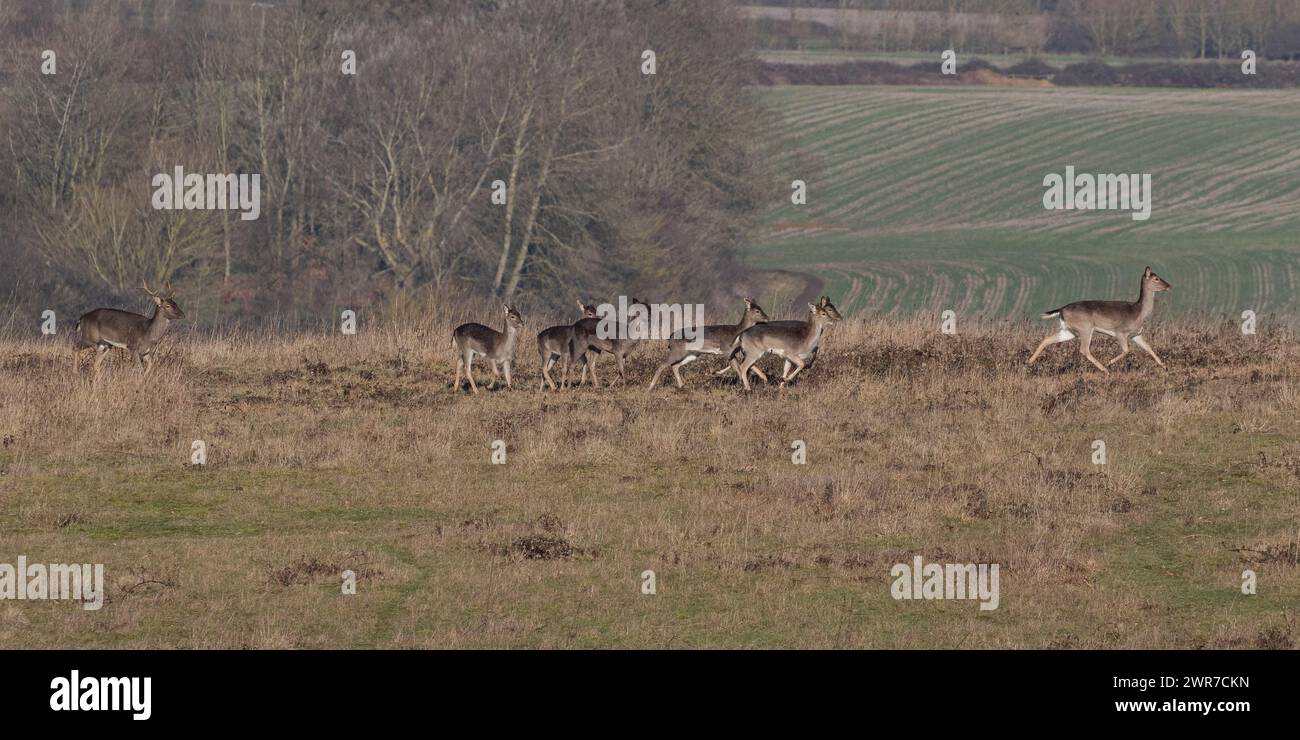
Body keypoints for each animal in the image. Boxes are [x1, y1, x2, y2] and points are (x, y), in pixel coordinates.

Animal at [1027, 266, 1171, 373]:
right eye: (1156, 278)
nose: (1169, 286)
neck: (1139, 312)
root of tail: (1061, 310)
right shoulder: (1120, 332)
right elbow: (1127, 350)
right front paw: (1109, 362)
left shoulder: (1136, 334)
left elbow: (1149, 348)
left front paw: (1165, 366)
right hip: (1085, 328)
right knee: (1084, 349)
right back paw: (1104, 369)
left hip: (1069, 331)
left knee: (1047, 339)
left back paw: (1029, 362)